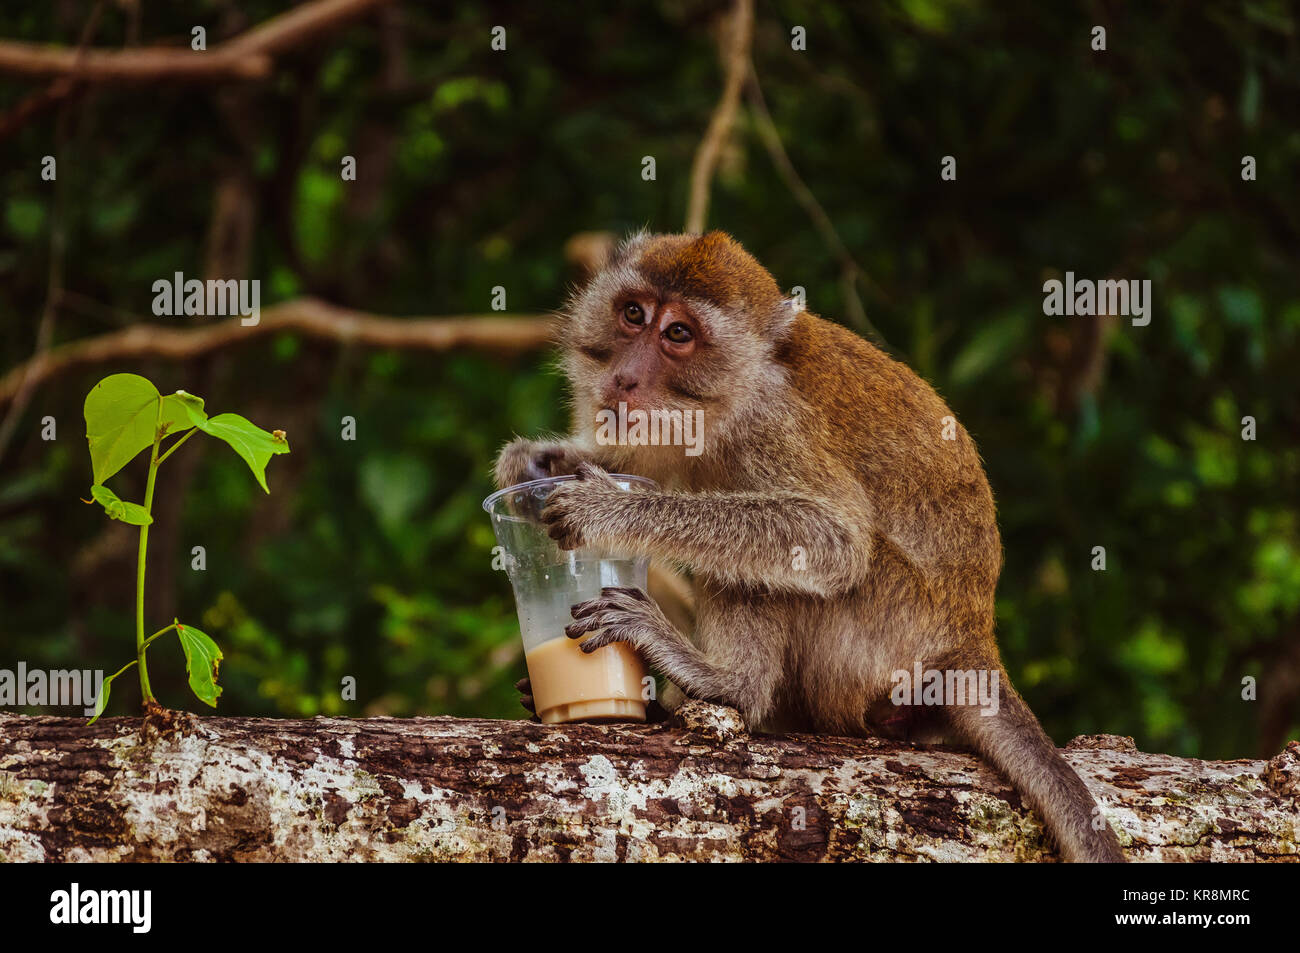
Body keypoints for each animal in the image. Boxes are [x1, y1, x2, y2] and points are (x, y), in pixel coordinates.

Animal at [495, 230, 1124, 863]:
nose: (624, 378)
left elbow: (831, 540)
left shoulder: (772, 424)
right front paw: (536, 466)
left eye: (678, 334)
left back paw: (725, 682)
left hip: (884, 631)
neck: (723, 402)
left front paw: (608, 509)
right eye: (633, 314)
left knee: (768, 567)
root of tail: (971, 638)